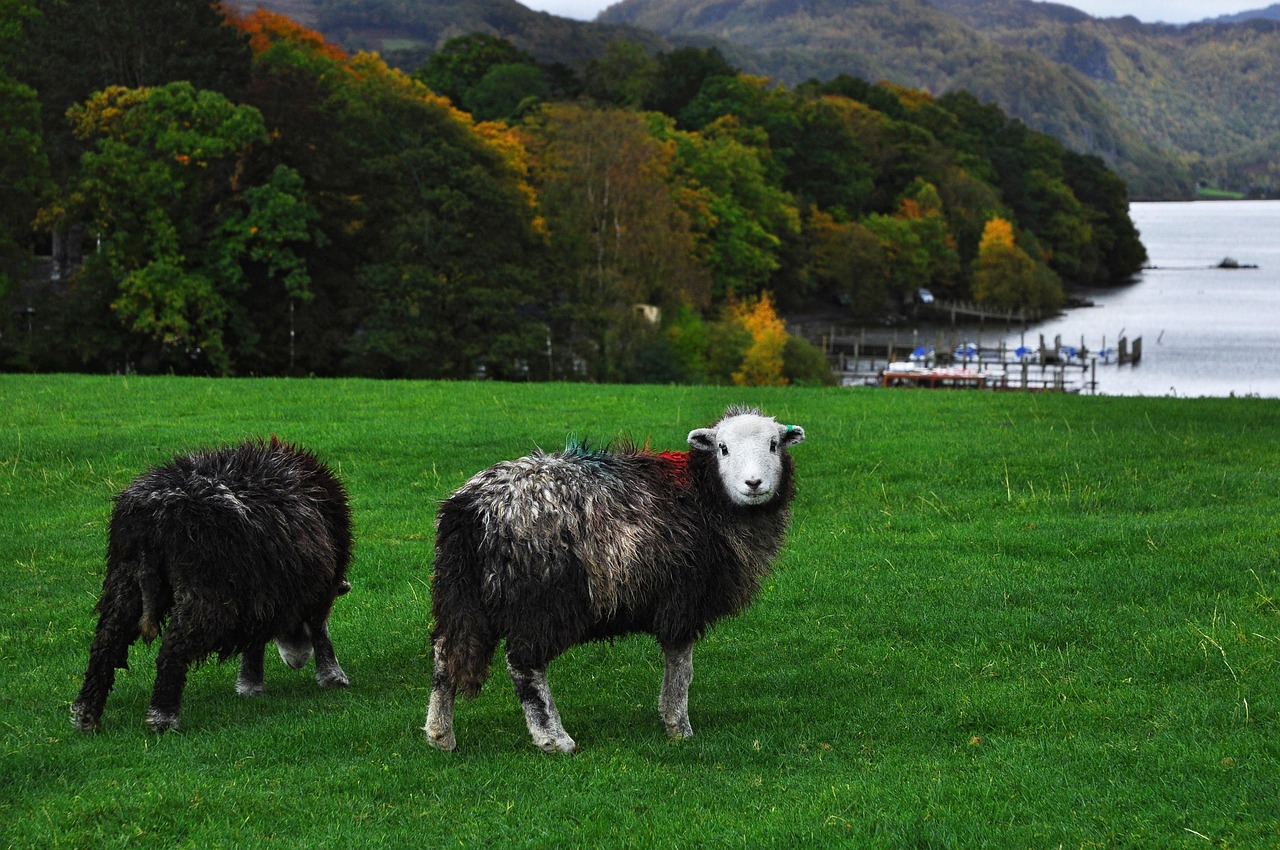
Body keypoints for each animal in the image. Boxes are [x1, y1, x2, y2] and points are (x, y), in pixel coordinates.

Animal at [71, 438, 353, 734]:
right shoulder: (317, 587)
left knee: (106, 643)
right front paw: (333, 677)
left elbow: (257, 638)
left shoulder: (261, 594)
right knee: (172, 650)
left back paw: (86, 716)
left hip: (125, 581)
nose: (297, 661)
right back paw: (162, 716)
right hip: (206, 593)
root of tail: (153, 519)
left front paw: (250, 685)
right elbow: (319, 628)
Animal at [423, 406, 806, 753]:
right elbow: (682, 668)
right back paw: (553, 739)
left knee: (444, 653)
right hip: (540, 598)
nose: (753, 483)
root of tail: (469, 508)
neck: (705, 494)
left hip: (463, 592)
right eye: (723, 448)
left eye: (774, 445)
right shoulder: (683, 598)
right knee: (523, 663)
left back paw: (441, 734)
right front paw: (678, 727)